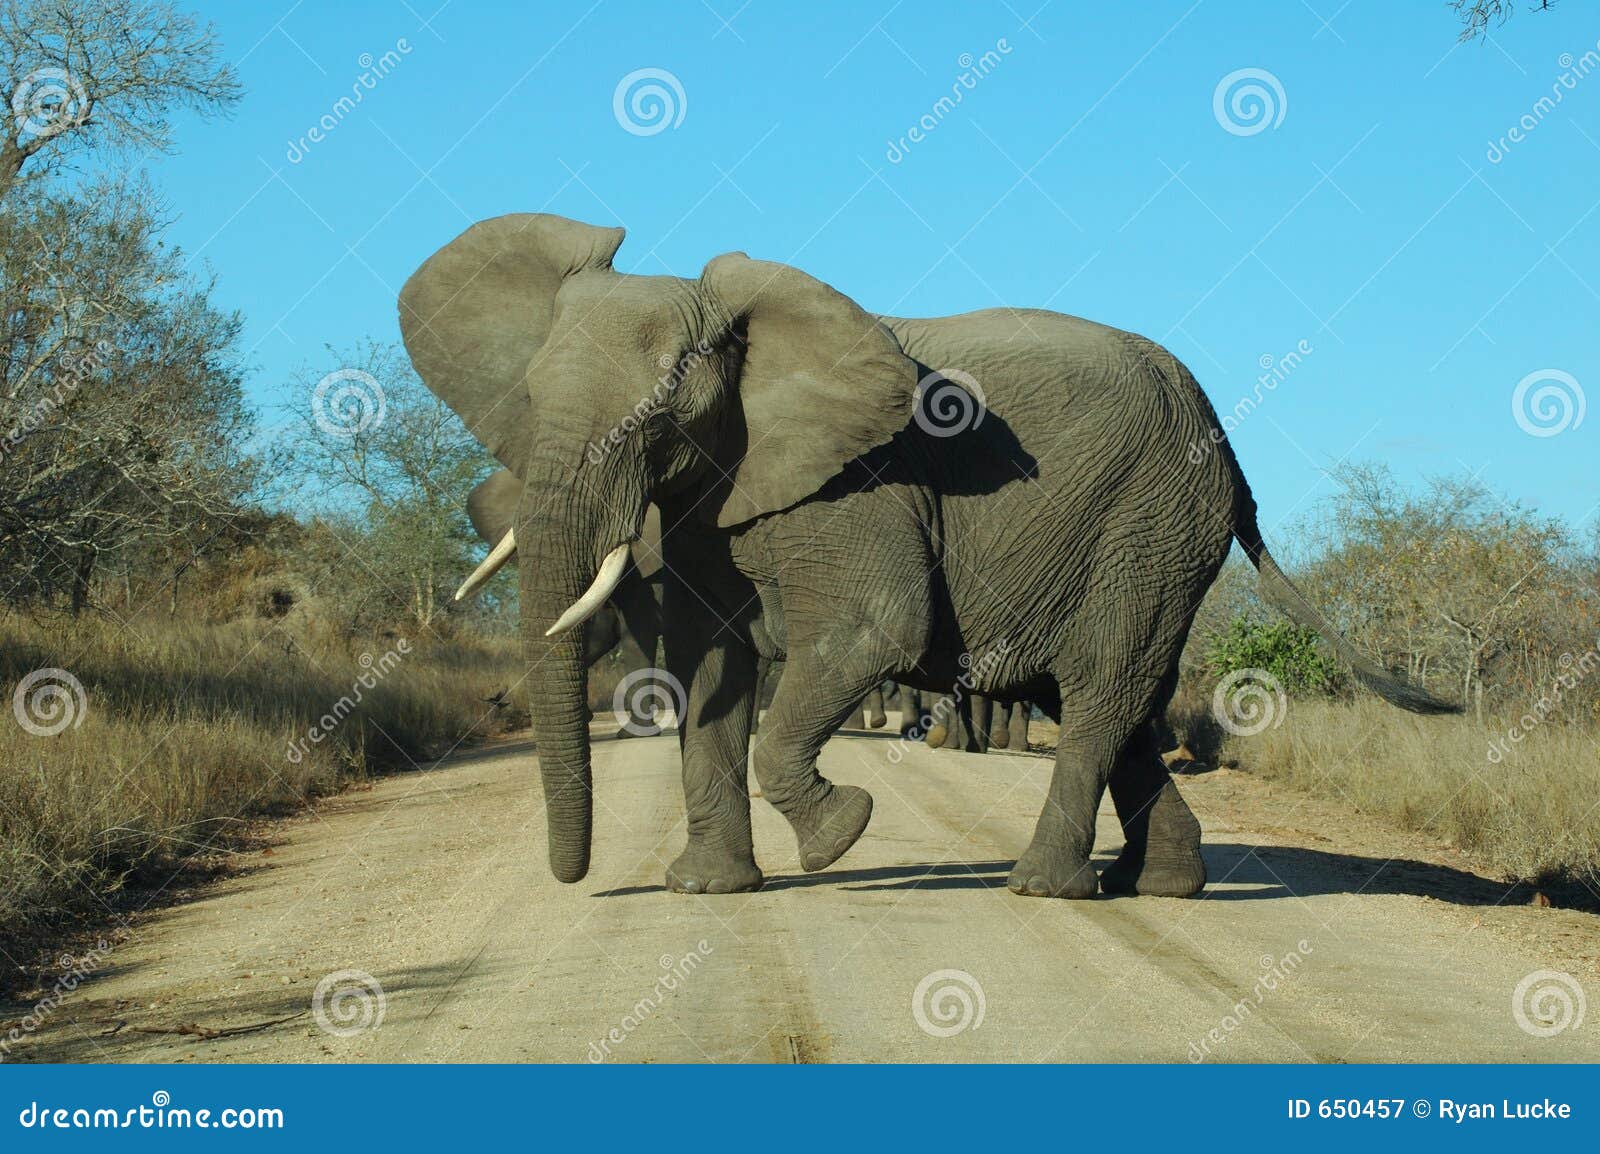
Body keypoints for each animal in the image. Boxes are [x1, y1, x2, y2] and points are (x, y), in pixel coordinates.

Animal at [399, 213, 1456, 901]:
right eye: (529, 393)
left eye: (662, 408)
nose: (578, 883)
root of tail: (1232, 451)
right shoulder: (708, 500)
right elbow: (709, 666)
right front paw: (706, 891)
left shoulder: (855, 485)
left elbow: (874, 631)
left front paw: (840, 836)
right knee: (1117, 703)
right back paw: (1158, 884)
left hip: (1150, 521)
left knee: (1102, 690)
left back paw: (1043, 889)